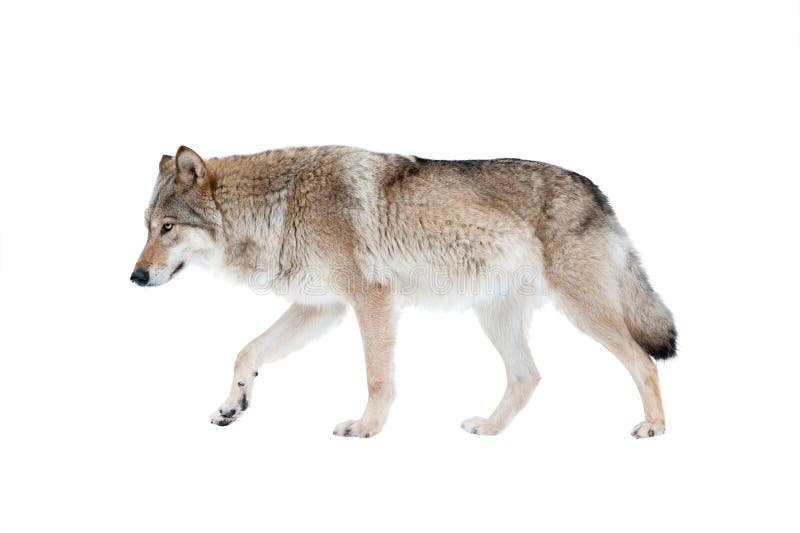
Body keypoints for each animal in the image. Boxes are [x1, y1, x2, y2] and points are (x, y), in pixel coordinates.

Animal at [131, 145, 676, 439]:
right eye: (146, 228)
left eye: (167, 228)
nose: (135, 277)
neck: (278, 207)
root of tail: (598, 191)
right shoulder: (321, 308)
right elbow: (246, 352)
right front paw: (232, 404)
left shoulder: (371, 300)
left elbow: (377, 378)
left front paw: (366, 428)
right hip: (496, 319)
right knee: (529, 377)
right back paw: (490, 429)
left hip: (584, 312)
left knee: (644, 363)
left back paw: (653, 427)